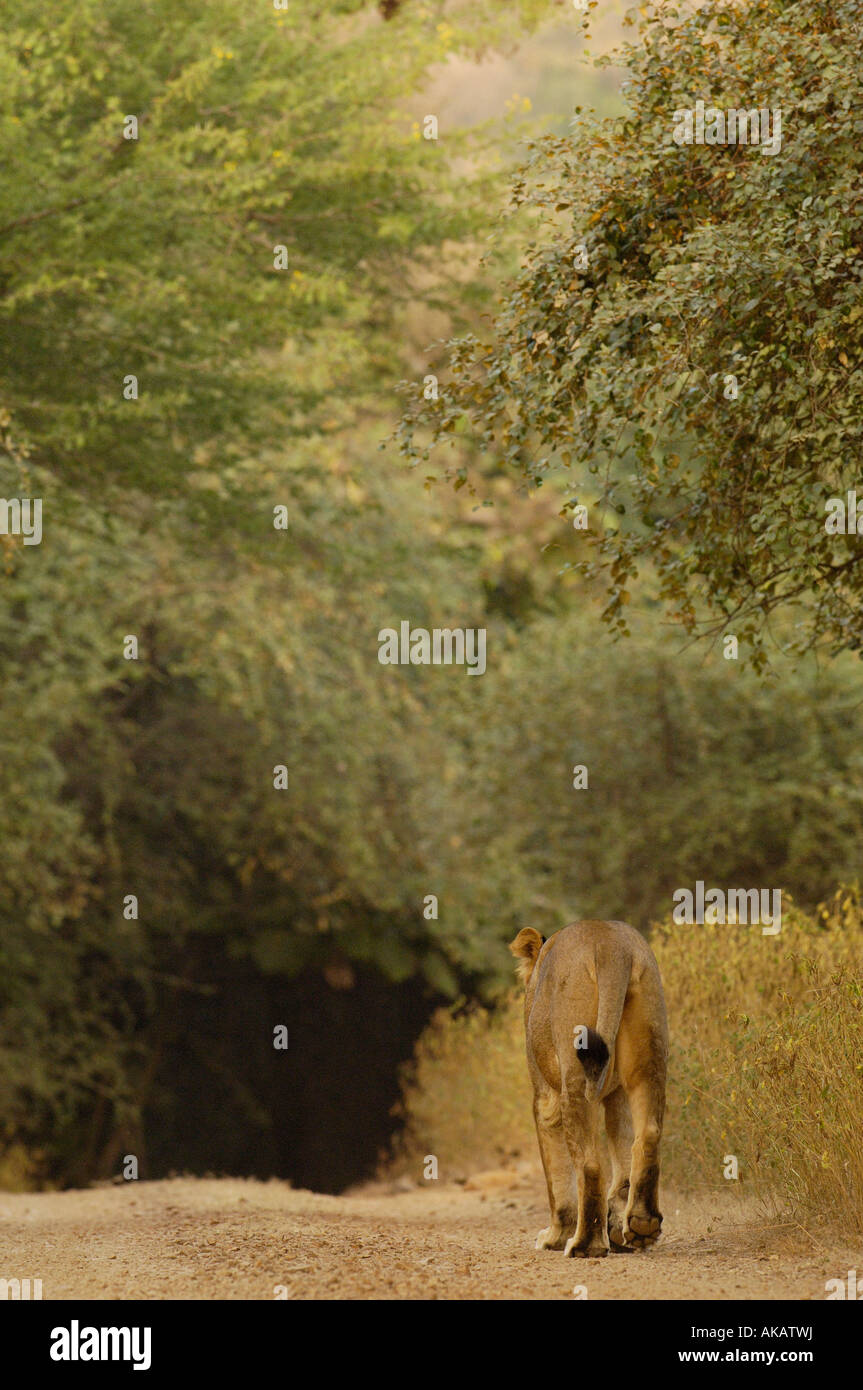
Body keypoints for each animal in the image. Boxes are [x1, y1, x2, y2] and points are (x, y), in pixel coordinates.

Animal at [509, 919, 668, 1258]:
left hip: (575, 1074)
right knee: (647, 1134)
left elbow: (556, 1177)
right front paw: (619, 1230)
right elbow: (622, 1153)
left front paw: (553, 1237)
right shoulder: (616, 1094)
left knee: (590, 1164)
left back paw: (584, 1244)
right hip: (650, 1058)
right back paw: (642, 1225)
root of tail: (611, 946)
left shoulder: (544, 1099)